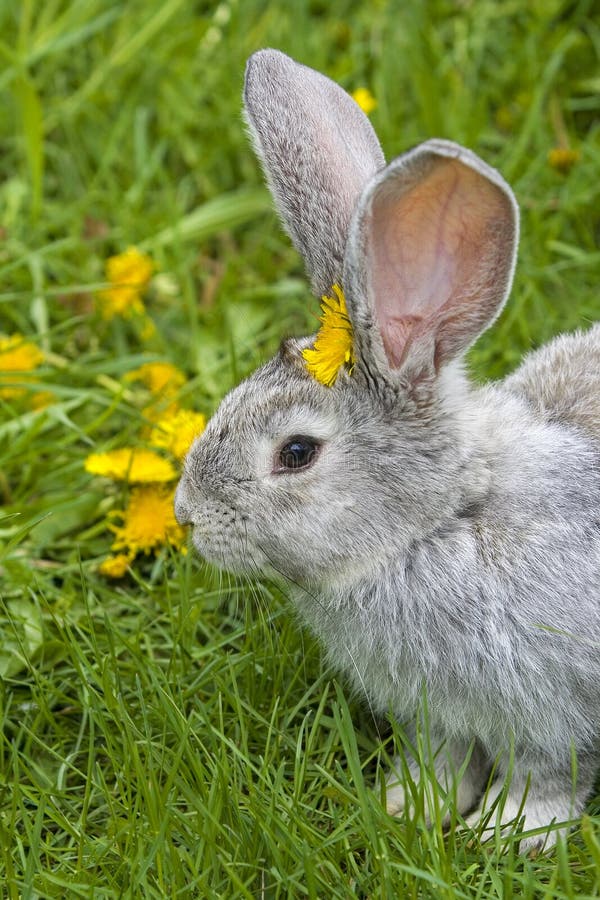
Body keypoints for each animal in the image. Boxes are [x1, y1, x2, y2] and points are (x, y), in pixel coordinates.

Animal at [174, 48, 600, 852]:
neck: (441, 521)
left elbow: (547, 777)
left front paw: (509, 834)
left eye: (297, 453)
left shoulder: (554, 709)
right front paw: (408, 806)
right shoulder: (440, 718)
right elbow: (442, 757)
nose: (186, 518)